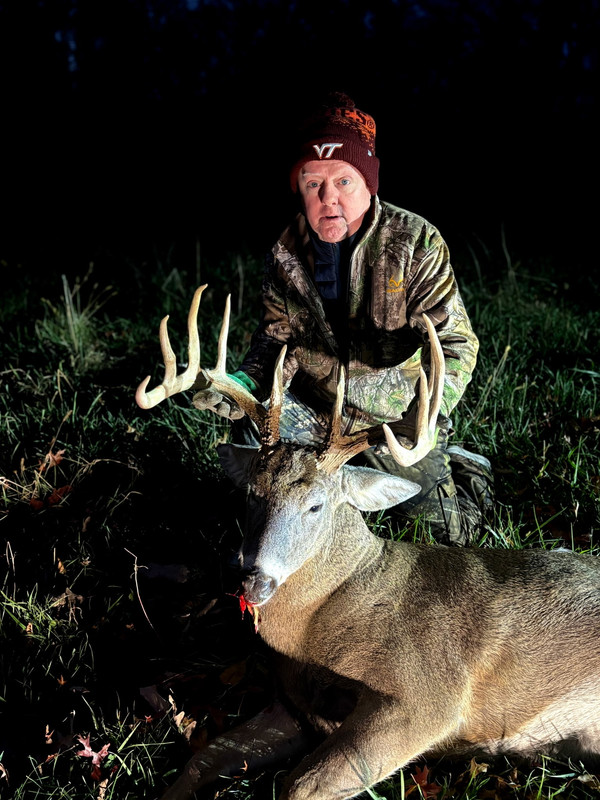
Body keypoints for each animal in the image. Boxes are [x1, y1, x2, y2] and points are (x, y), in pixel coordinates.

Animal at [136, 286, 600, 800]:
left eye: (316, 506)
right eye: (252, 494)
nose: (252, 579)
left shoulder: (429, 695)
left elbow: (298, 785)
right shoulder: (294, 705)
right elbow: (201, 759)